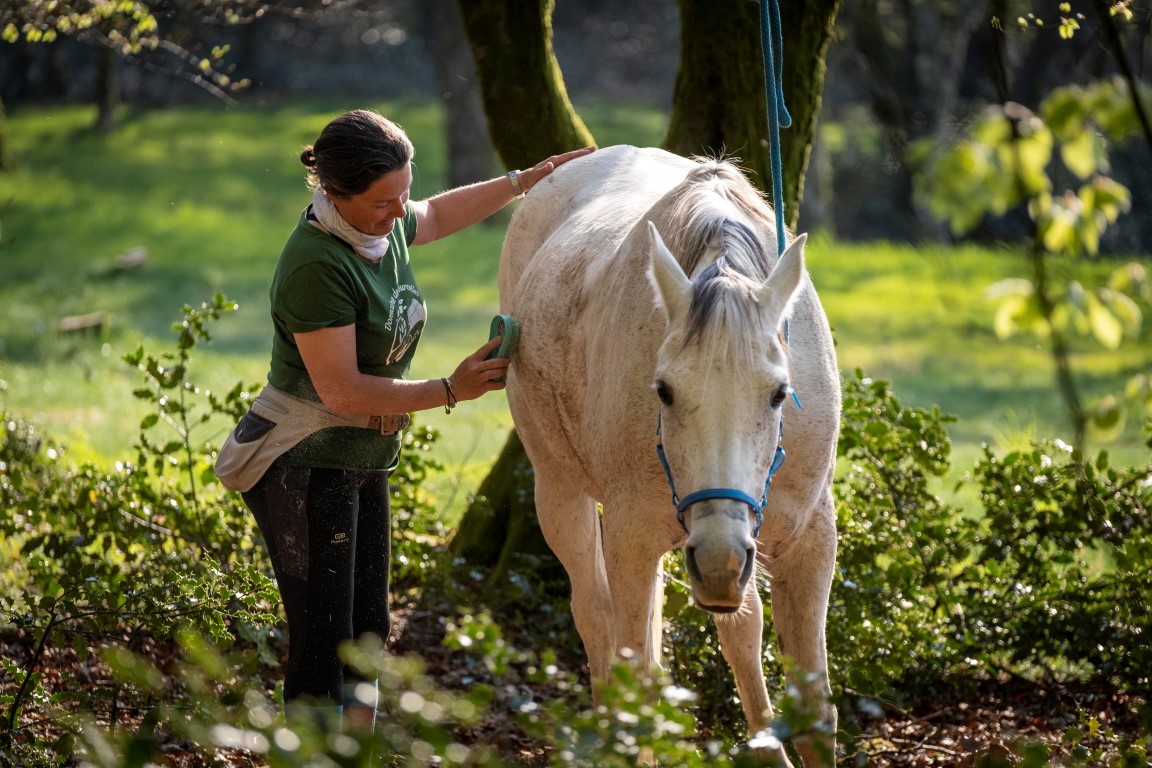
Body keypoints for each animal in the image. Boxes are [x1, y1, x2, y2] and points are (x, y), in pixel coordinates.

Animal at [499, 145, 840, 767]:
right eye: (663, 391)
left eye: (780, 392)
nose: (719, 558)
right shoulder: (632, 539)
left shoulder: (809, 541)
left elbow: (815, 713)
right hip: (561, 492)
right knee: (596, 620)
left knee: (738, 629)